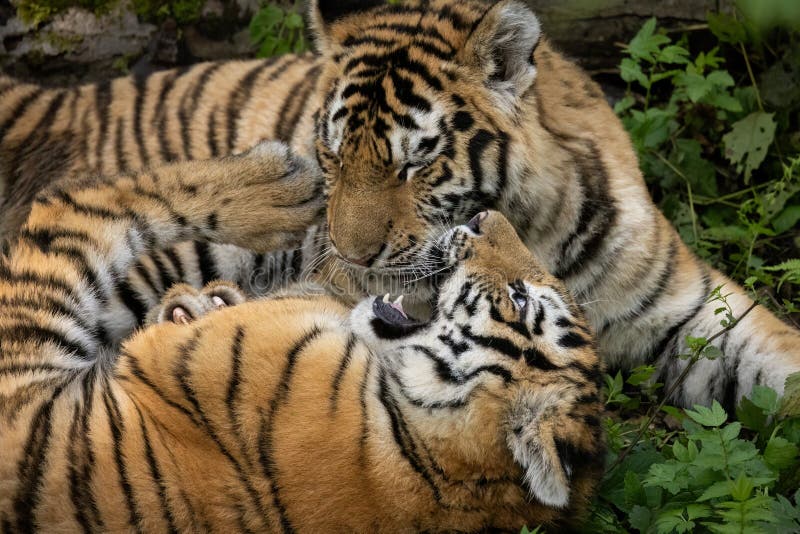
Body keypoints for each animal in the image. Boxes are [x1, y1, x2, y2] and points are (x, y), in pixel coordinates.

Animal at [0, 140, 605, 532]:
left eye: (522, 300)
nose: (484, 218)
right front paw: (195, 300)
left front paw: (191, 306)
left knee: (78, 206)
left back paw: (281, 183)